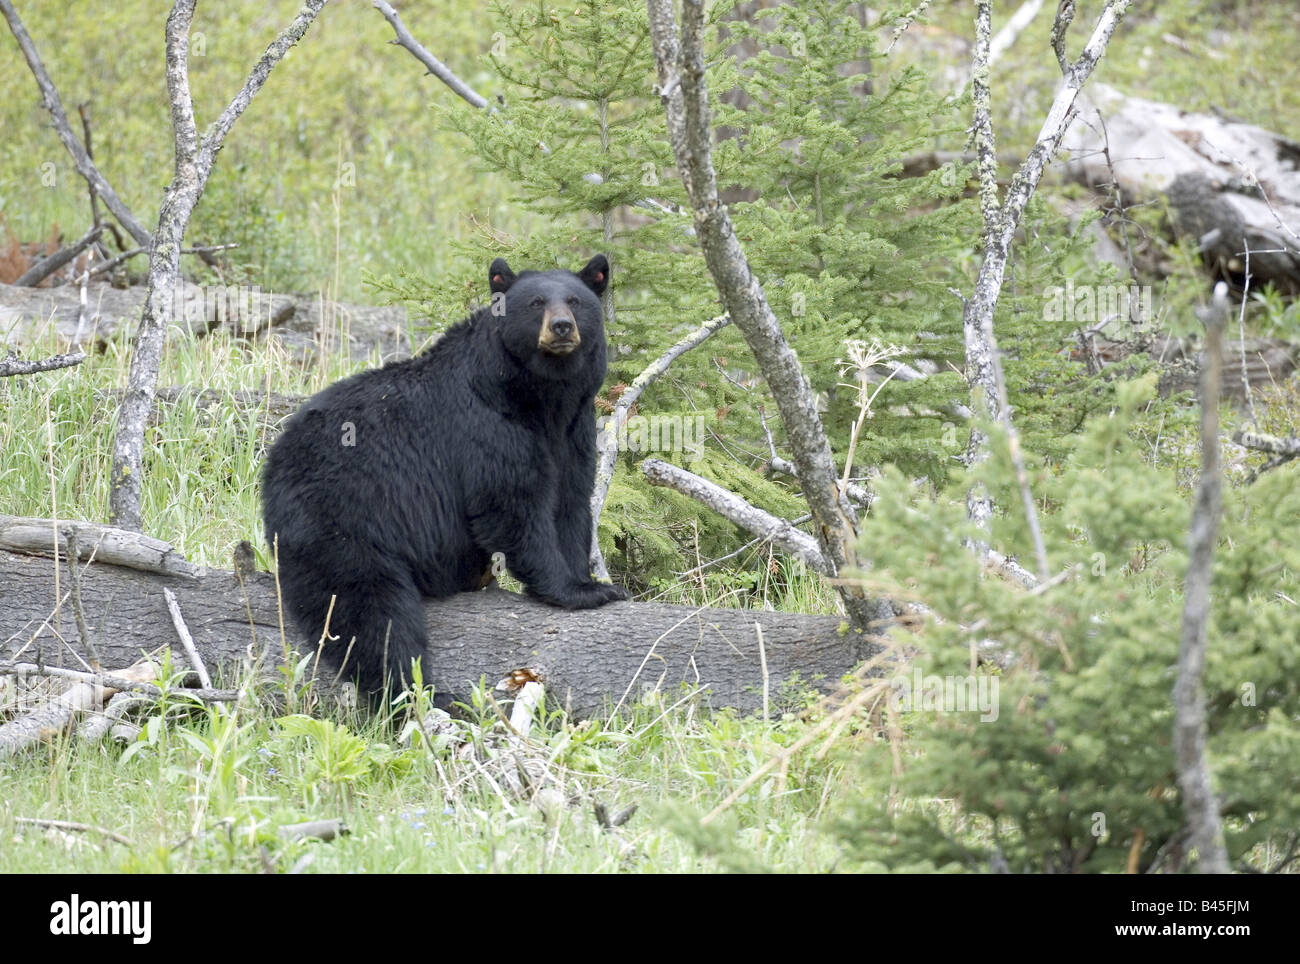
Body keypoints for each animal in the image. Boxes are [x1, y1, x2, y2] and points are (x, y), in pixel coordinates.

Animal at [261, 255, 628, 697]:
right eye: (536, 302)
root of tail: (272, 472)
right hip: (343, 516)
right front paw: (577, 590)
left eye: (575, 301)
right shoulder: (489, 428)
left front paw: (587, 580)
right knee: (369, 611)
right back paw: (422, 691)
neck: (540, 398)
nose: (561, 327)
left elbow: (570, 503)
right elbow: (513, 508)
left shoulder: (575, 431)